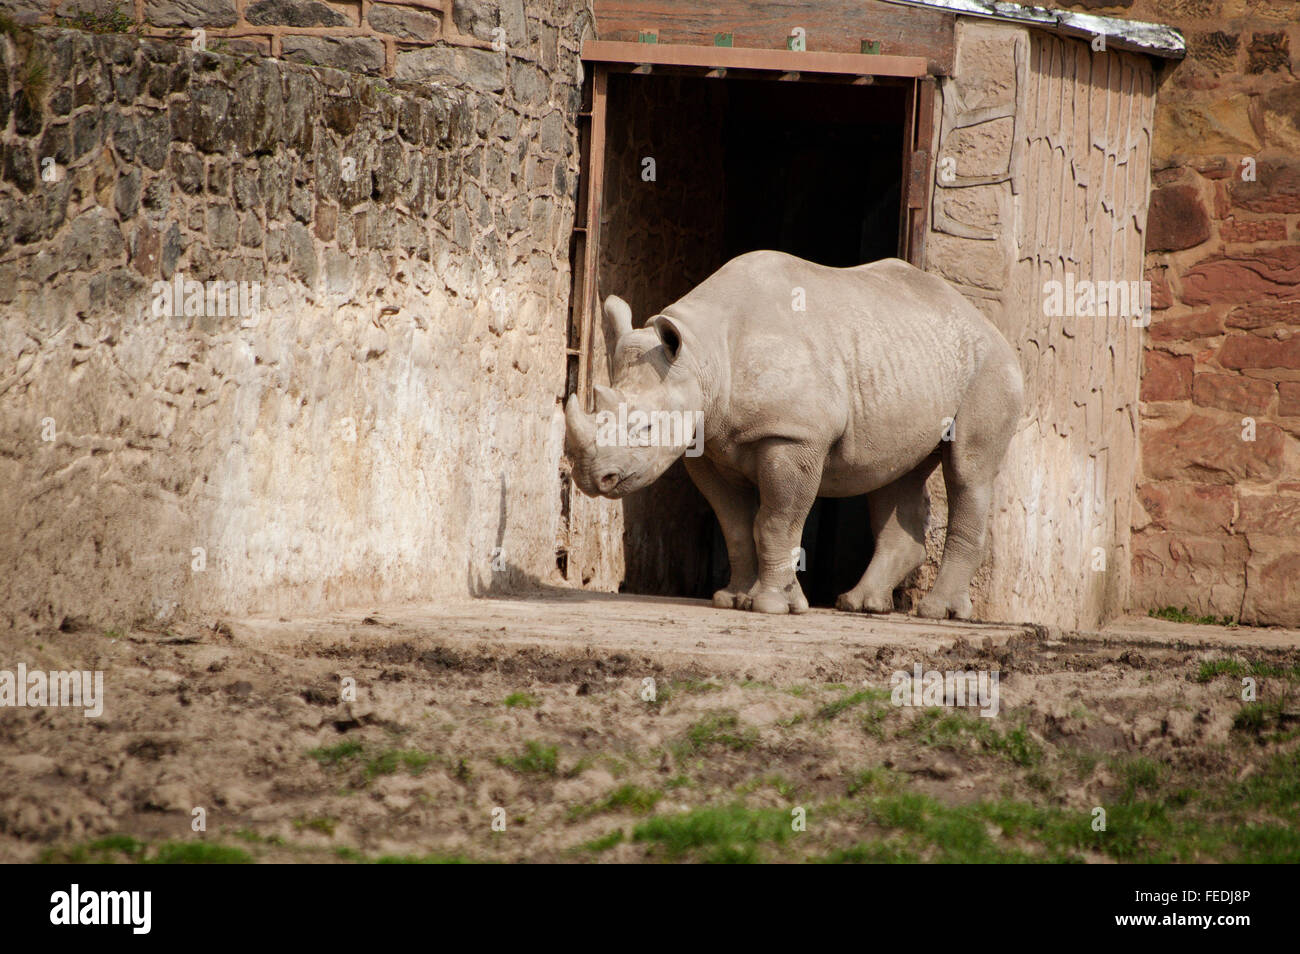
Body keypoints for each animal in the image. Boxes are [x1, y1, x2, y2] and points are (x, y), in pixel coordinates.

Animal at [564, 251, 1024, 620]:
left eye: (645, 427)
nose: (592, 479)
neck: (705, 354)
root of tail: (985, 322)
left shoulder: (793, 436)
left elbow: (776, 520)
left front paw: (769, 605)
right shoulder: (707, 447)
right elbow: (736, 524)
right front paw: (736, 600)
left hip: (990, 367)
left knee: (967, 471)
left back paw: (936, 612)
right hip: (914, 359)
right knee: (895, 473)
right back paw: (859, 605)